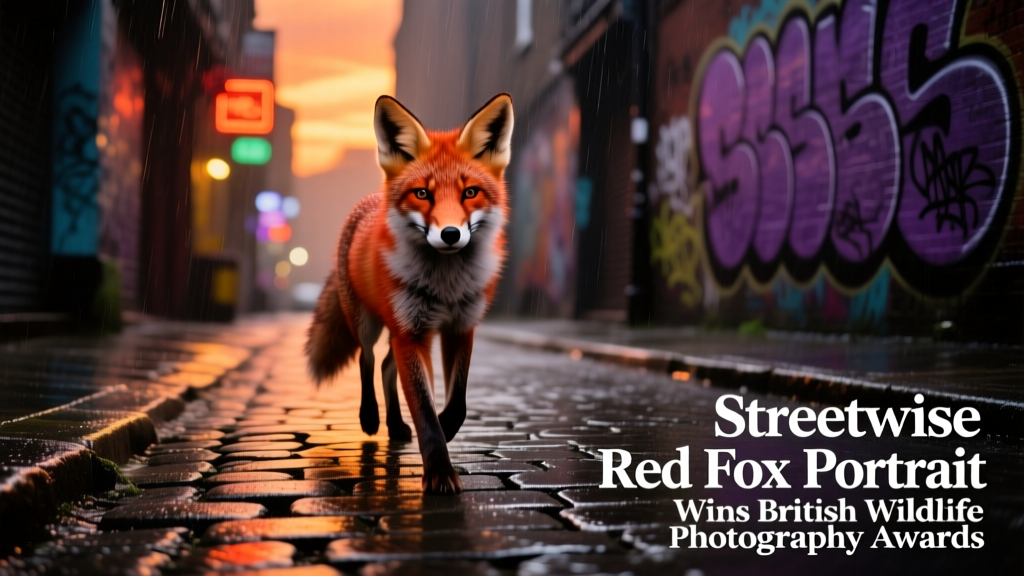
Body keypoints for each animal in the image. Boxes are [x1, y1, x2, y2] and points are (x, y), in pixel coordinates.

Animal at [305, 93, 514, 495]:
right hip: (369, 323)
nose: (450, 234)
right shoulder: (413, 333)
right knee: (368, 359)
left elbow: (456, 402)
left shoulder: (458, 328)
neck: (446, 286)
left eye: (470, 192)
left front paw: (445, 431)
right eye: (422, 194)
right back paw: (371, 417)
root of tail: (370, 200)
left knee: (387, 366)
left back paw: (397, 425)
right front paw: (439, 472)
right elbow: (424, 407)